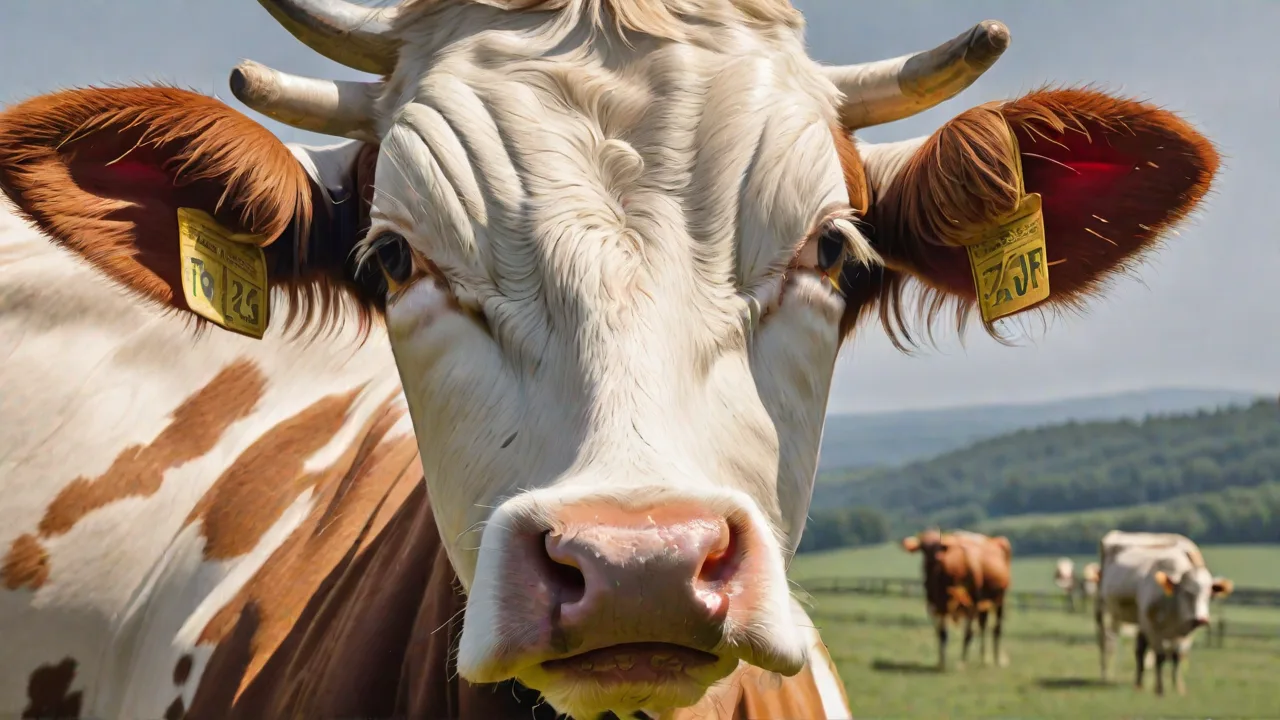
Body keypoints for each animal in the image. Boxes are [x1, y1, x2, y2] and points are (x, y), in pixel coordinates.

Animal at [901, 530, 1013, 670]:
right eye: (923, 547)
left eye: (939, 546)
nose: (936, 557)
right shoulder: (937, 606)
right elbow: (942, 634)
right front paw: (941, 663)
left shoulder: (971, 606)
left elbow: (968, 634)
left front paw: (962, 662)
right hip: (984, 603)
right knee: (983, 625)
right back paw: (983, 659)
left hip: (999, 600)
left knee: (996, 629)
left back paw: (996, 659)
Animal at [1095, 531, 1235, 696]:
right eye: (1186, 592)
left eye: (1209, 594)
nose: (1202, 619)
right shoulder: (1152, 627)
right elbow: (1160, 657)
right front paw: (1160, 689)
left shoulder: (1187, 631)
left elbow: (1177, 657)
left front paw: (1178, 687)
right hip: (1104, 610)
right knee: (1107, 642)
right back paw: (1105, 675)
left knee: (1139, 650)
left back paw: (1138, 684)